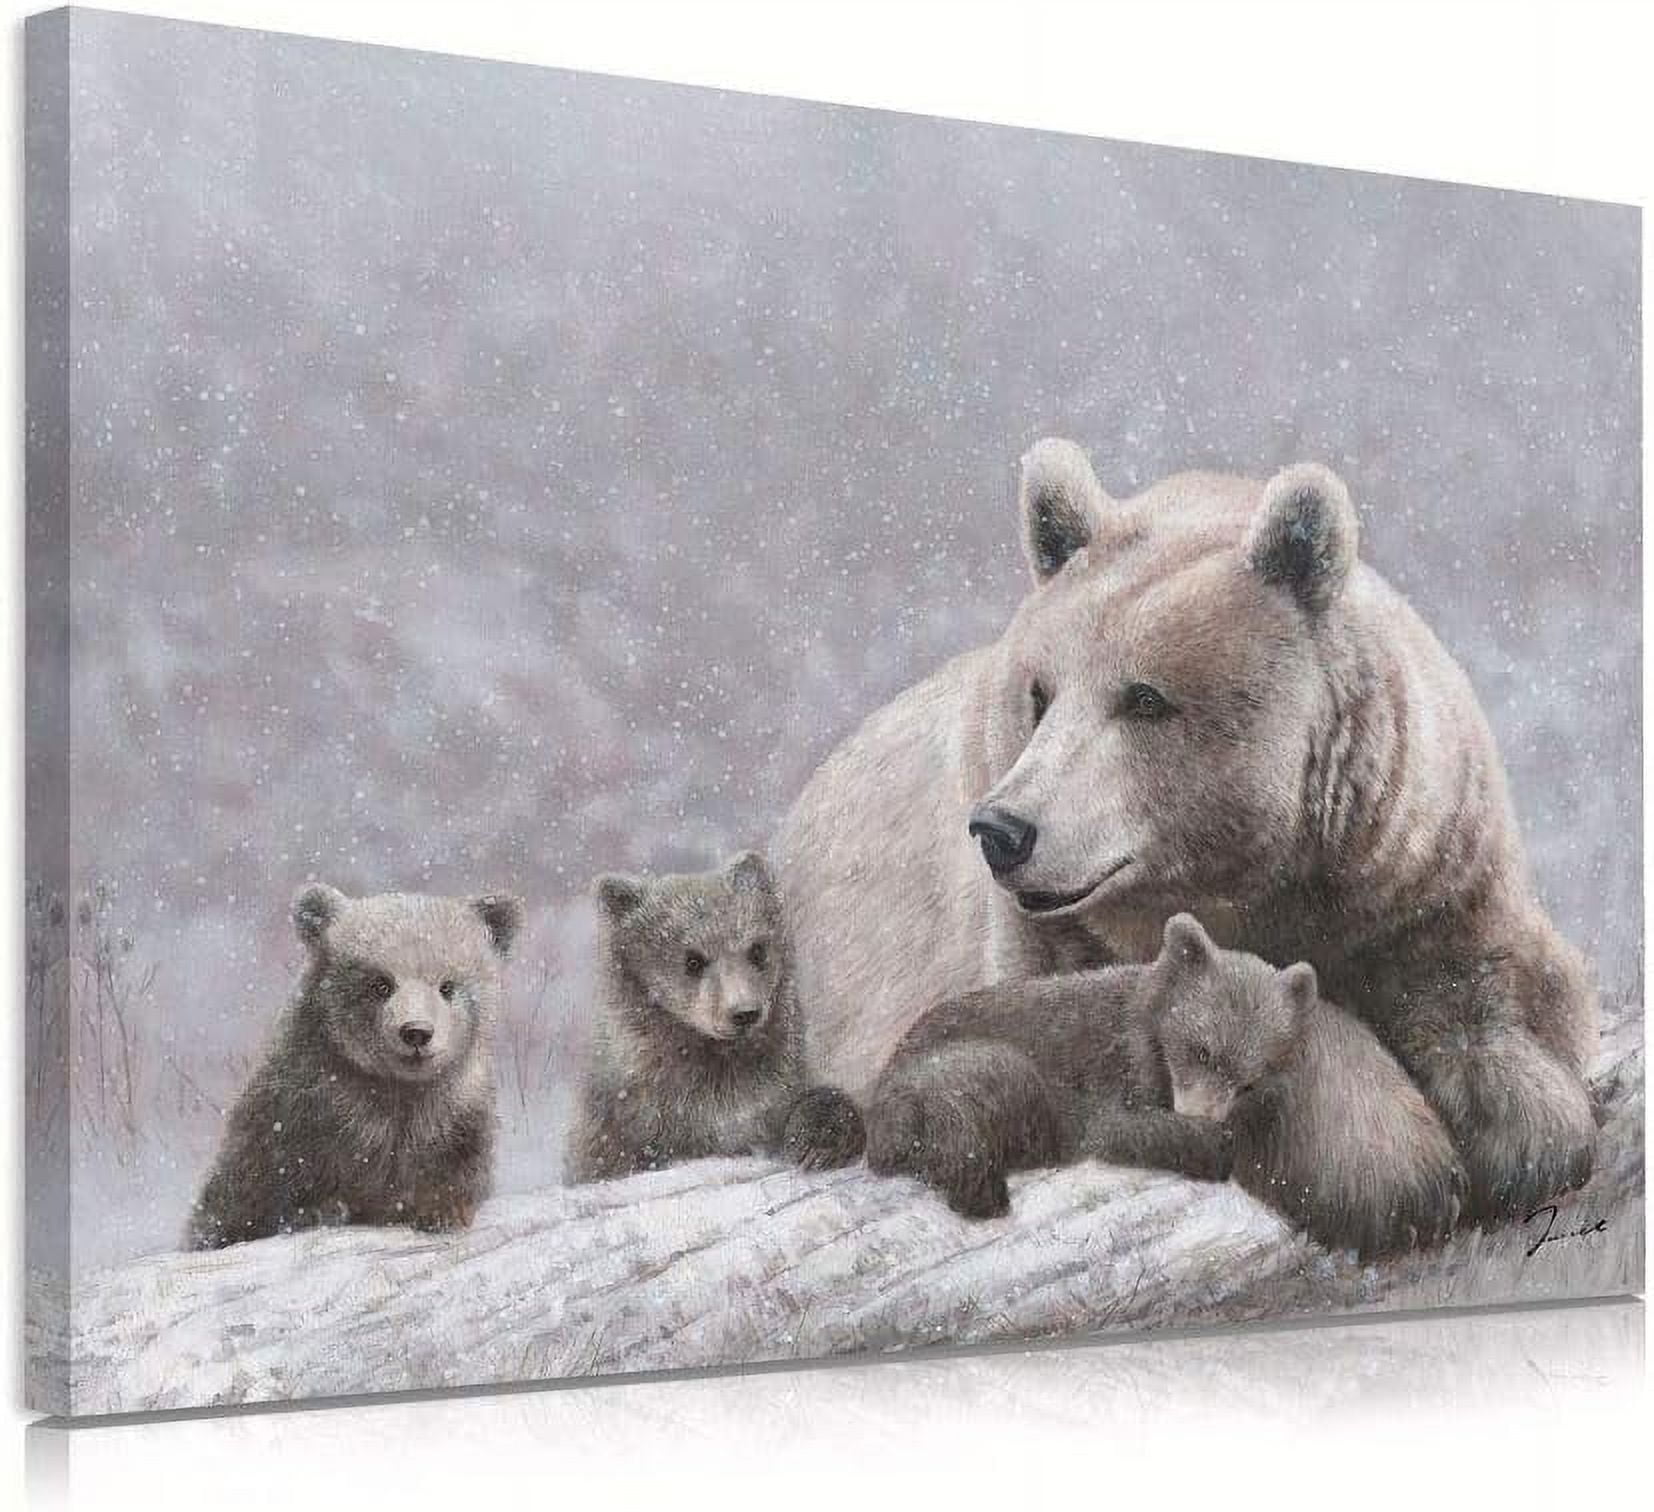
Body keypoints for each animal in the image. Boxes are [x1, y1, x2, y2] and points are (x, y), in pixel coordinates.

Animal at [186, 884, 522, 1249]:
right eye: (380, 983)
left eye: (447, 986)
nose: (416, 1032)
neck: (394, 1092)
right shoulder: (290, 1120)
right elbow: (243, 1207)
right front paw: (318, 1211)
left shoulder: (456, 1115)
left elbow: (462, 1165)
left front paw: (442, 1209)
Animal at [565, 850, 865, 1183]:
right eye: (692, 961)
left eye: (756, 950)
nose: (744, 1013)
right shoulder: (624, 1121)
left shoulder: (774, 1089)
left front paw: (817, 1142)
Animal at [778, 438, 1598, 1226]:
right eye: (1040, 694)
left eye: (1145, 698)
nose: (1003, 830)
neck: (1250, 876)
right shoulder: (1051, 947)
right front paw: (1396, 1167)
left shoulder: (1413, 861)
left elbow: (1490, 989)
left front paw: (1528, 1133)